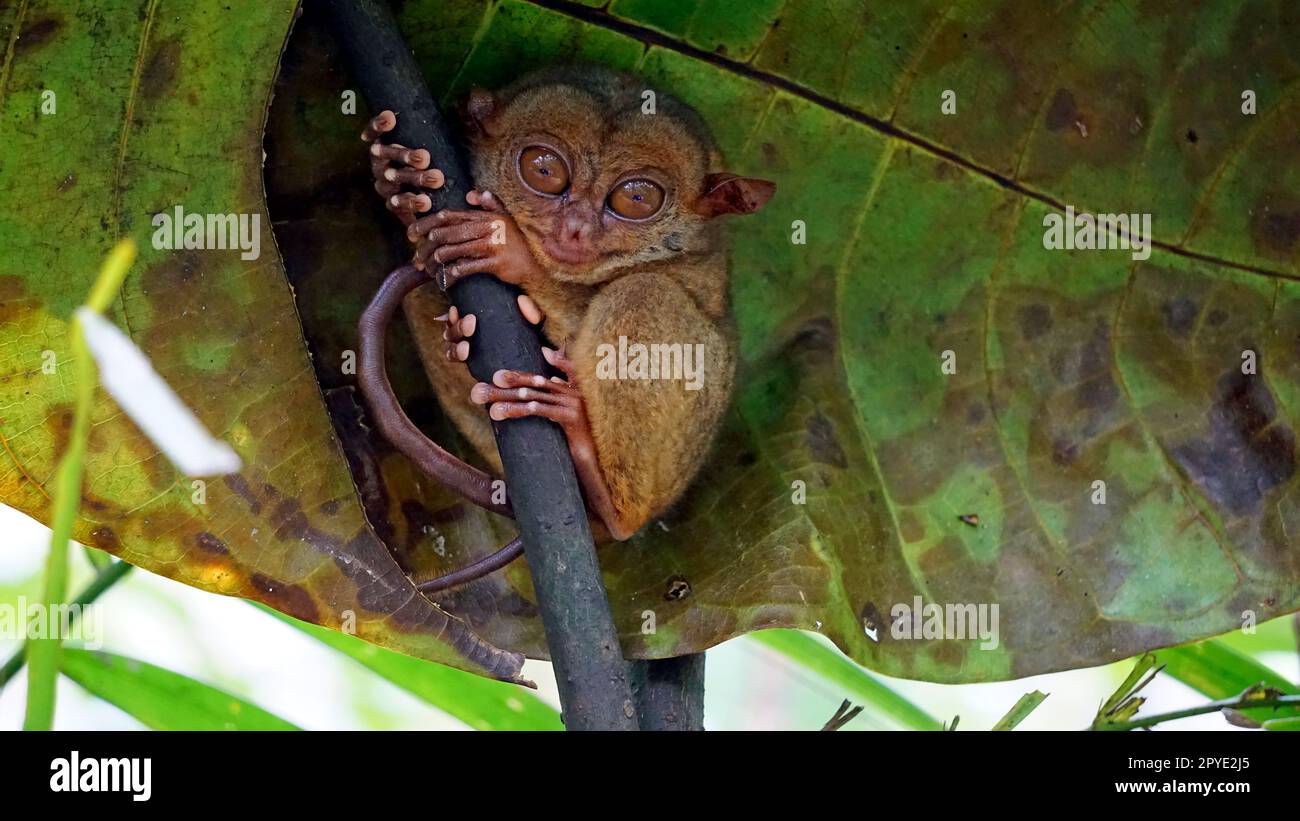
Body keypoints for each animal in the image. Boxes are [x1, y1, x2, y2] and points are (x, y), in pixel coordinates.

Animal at [359, 65, 774, 593]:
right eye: (543, 170)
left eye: (636, 199)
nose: (576, 227)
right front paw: (397, 178)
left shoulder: (697, 271)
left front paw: (509, 249)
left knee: (642, 293)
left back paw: (604, 487)